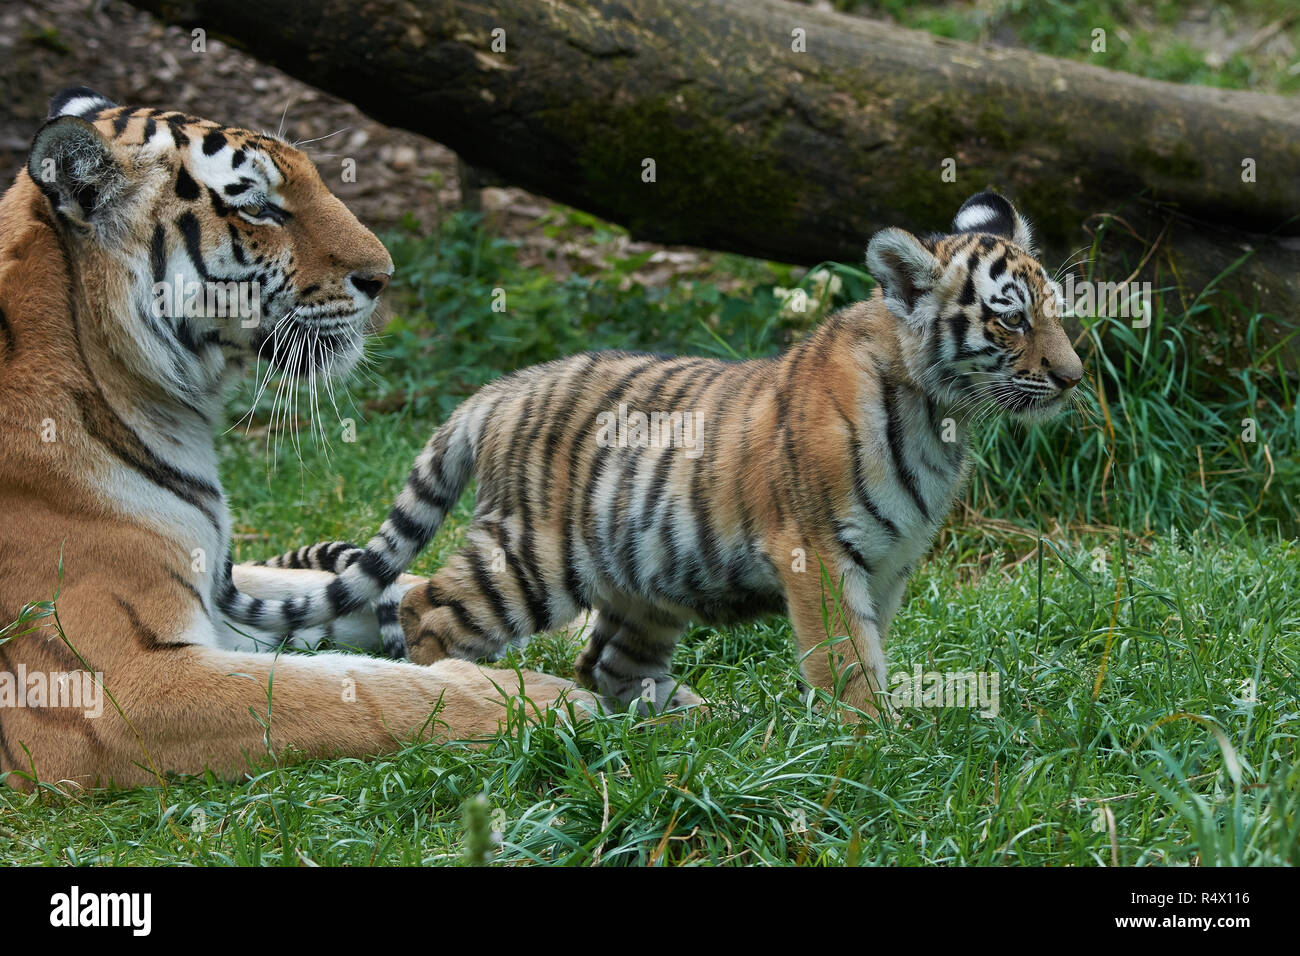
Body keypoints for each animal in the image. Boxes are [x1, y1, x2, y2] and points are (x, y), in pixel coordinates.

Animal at [0, 87, 591, 790]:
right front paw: (558, 699)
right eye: (257, 205)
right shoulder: (112, 686)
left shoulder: (216, 578)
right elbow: (360, 692)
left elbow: (361, 590)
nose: (384, 276)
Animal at [282, 191, 1086, 718]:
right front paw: (871, 744)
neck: (937, 413)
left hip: (644, 576)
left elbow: (872, 648)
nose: (1074, 377)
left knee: (605, 664)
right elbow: (846, 660)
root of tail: (499, 390)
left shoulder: (889, 562)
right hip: (532, 559)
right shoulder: (819, 551)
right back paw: (449, 696)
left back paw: (694, 723)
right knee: (424, 609)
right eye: (1012, 320)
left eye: (1055, 311)